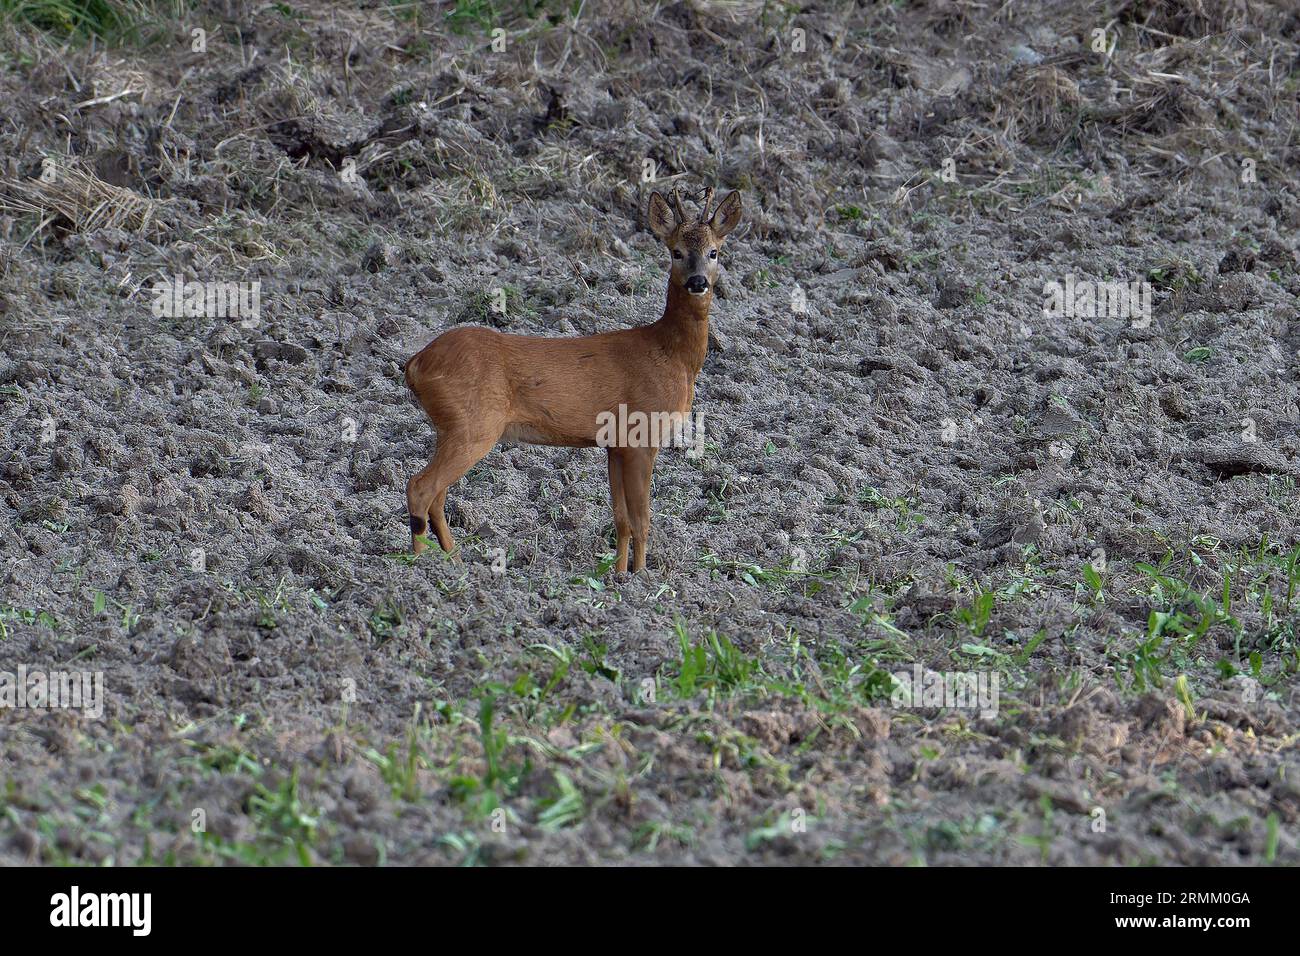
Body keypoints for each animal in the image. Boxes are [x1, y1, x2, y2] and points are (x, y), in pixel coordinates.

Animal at [403, 185, 743, 573]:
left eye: (714, 252)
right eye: (676, 252)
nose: (697, 282)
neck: (671, 355)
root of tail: (415, 363)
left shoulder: (615, 443)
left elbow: (621, 519)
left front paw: (619, 575)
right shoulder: (640, 433)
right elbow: (642, 519)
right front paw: (642, 576)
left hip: (452, 427)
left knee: (438, 494)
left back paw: (455, 561)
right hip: (474, 425)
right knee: (421, 486)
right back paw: (419, 567)